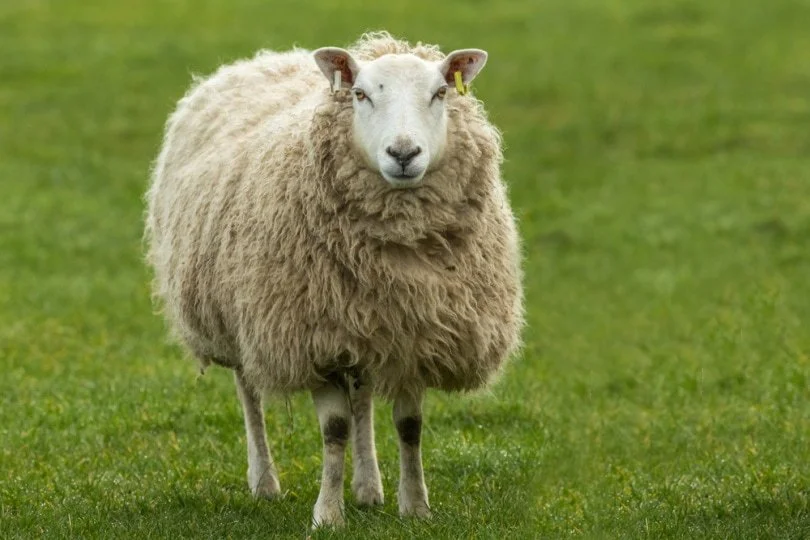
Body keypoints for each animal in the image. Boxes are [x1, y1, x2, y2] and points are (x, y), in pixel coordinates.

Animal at [145, 31, 523, 528]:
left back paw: (368, 487)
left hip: (359, 326)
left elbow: (409, 426)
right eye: (360, 94)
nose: (404, 154)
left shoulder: (415, 333)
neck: (397, 257)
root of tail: (266, 58)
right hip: (238, 318)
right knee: (250, 392)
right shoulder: (313, 337)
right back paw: (264, 482)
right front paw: (327, 513)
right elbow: (334, 429)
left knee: (361, 397)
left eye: (440, 92)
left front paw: (415, 506)